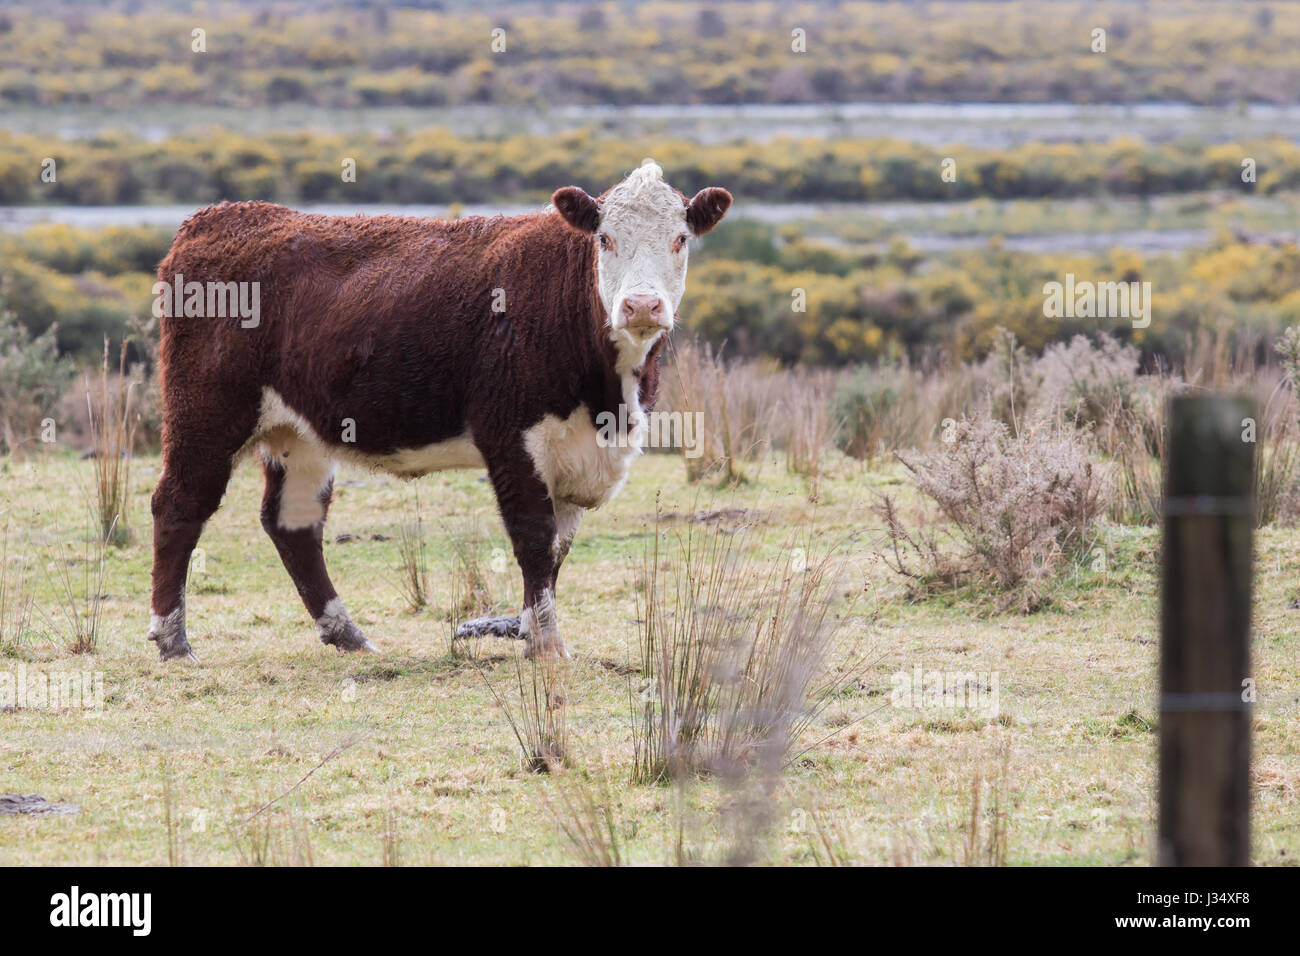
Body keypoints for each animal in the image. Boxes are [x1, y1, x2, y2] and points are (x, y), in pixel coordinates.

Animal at [146, 161, 731, 662]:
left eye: (680, 239)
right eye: (605, 239)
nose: (641, 305)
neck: (609, 400)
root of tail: (221, 216)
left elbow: (558, 550)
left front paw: (532, 633)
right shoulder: (511, 438)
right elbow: (534, 540)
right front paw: (545, 646)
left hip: (299, 433)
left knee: (292, 524)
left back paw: (346, 633)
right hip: (205, 413)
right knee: (178, 504)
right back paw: (173, 640)